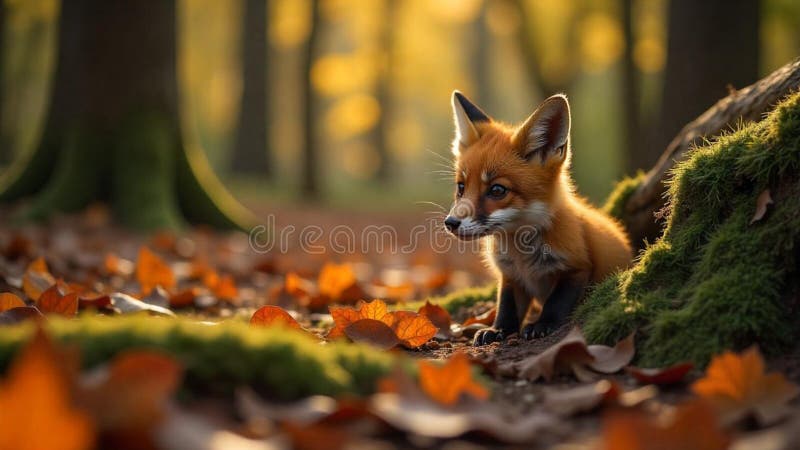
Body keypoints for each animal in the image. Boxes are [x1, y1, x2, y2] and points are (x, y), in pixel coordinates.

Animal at [443, 91, 633, 346]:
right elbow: (507, 307)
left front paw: (542, 324)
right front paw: (498, 330)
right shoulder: (510, 275)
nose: (450, 223)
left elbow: (556, 302)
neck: (522, 257)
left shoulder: (577, 267)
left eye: (497, 190)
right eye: (461, 187)